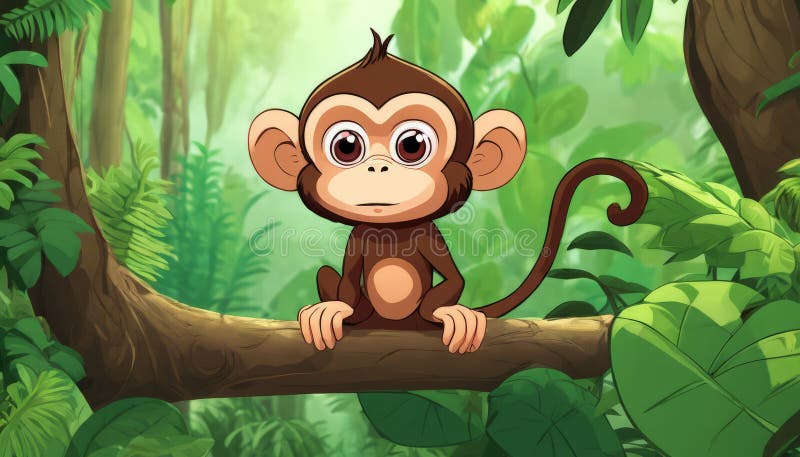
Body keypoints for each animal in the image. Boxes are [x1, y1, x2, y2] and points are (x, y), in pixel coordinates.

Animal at [248, 30, 647, 354]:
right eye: (347, 146)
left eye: (412, 145)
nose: (377, 167)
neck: (392, 229)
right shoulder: (359, 237)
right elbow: (345, 280)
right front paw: (335, 310)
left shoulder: (427, 233)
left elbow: (454, 279)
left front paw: (451, 315)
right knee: (326, 277)